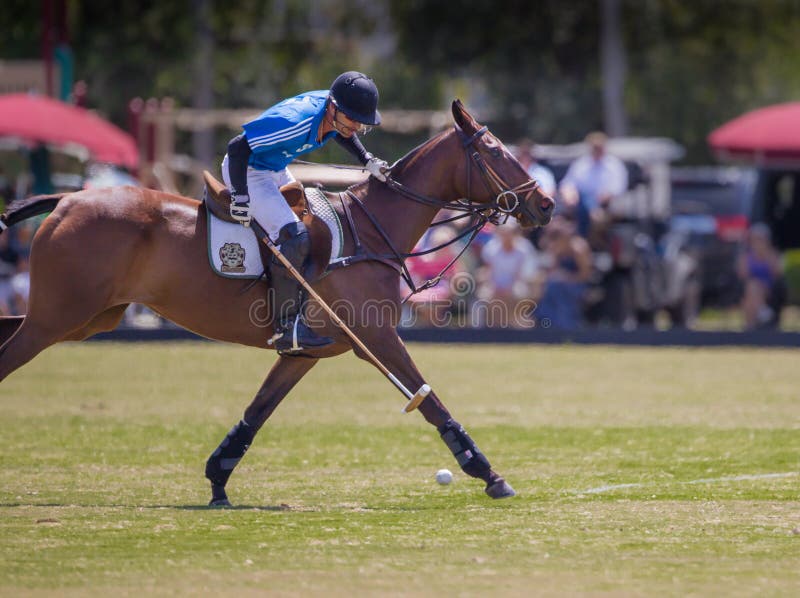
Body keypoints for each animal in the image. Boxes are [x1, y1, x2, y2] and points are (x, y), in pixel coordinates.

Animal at [0, 100, 554, 505]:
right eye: (493, 151)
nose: (545, 204)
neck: (371, 231)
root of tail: (67, 199)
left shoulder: (305, 350)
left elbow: (257, 411)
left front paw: (218, 480)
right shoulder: (375, 336)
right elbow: (429, 400)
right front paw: (489, 474)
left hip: (87, 318)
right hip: (59, 316)